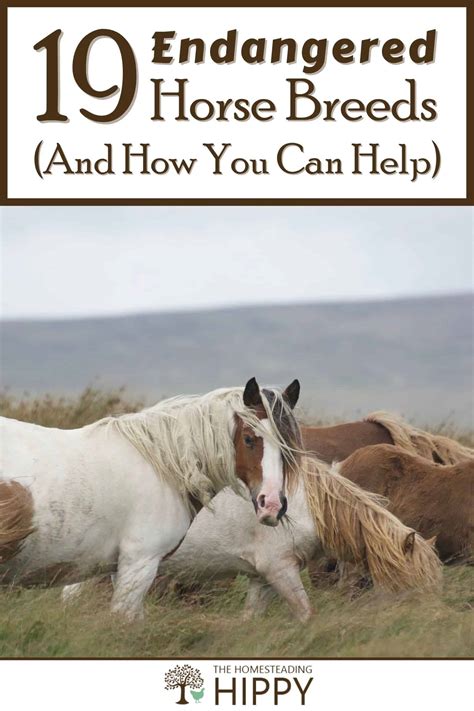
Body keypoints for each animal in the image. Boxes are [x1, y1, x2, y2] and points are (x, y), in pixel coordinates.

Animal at [0, 377, 302, 620]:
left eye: (288, 446)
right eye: (250, 439)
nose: (272, 505)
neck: (163, 464)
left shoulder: (121, 568)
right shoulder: (140, 563)